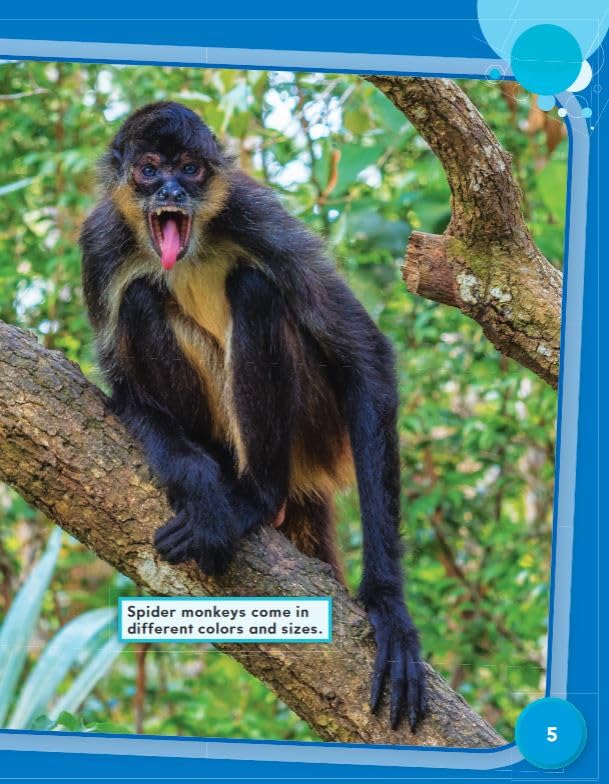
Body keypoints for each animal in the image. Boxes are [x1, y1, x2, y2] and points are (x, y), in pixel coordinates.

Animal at [80, 101, 426, 731]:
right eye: (148, 169)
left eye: (190, 169)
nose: (170, 190)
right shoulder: (100, 243)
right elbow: (124, 395)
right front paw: (196, 484)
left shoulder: (254, 213)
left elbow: (364, 356)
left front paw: (389, 606)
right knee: (140, 297)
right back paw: (216, 478)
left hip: (317, 428)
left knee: (254, 288)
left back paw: (258, 498)